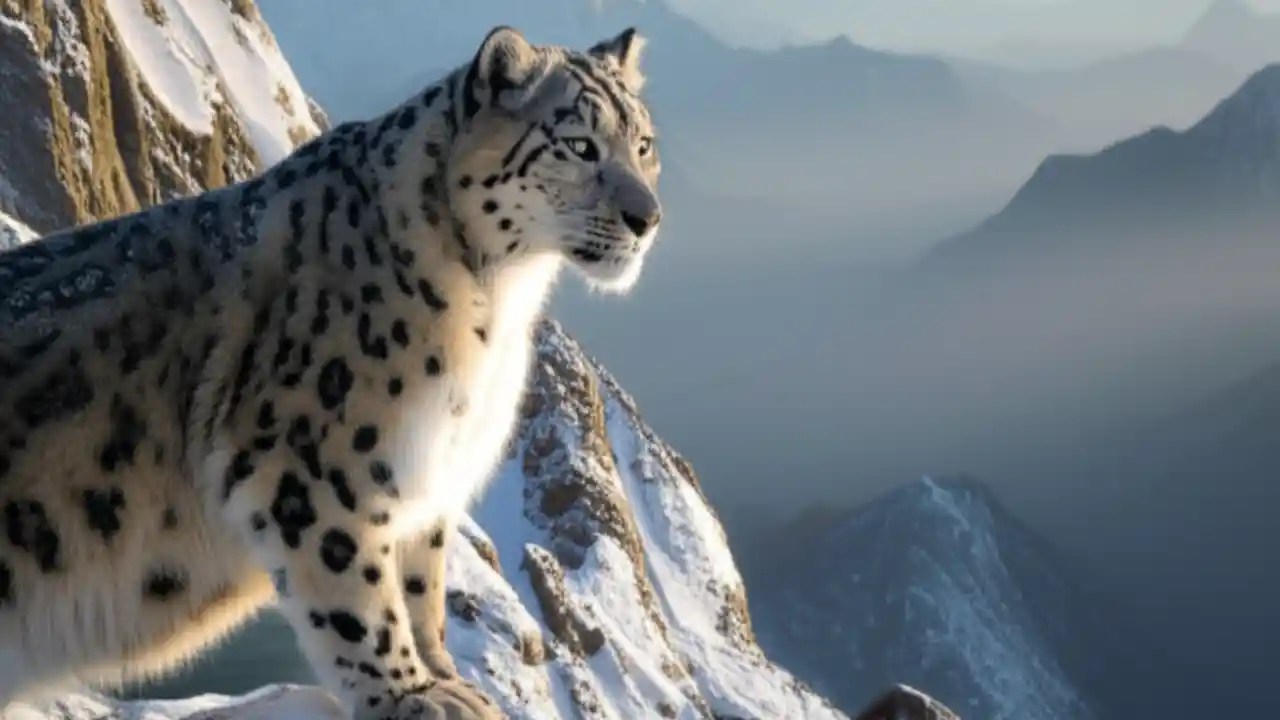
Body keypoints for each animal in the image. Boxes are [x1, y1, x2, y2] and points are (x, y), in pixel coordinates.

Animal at [0, 25, 661, 720]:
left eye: (643, 144)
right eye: (580, 145)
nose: (648, 218)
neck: (499, 304)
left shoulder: (427, 488)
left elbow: (420, 588)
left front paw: (446, 673)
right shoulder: (317, 472)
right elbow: (360, 602)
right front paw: (414, 694)